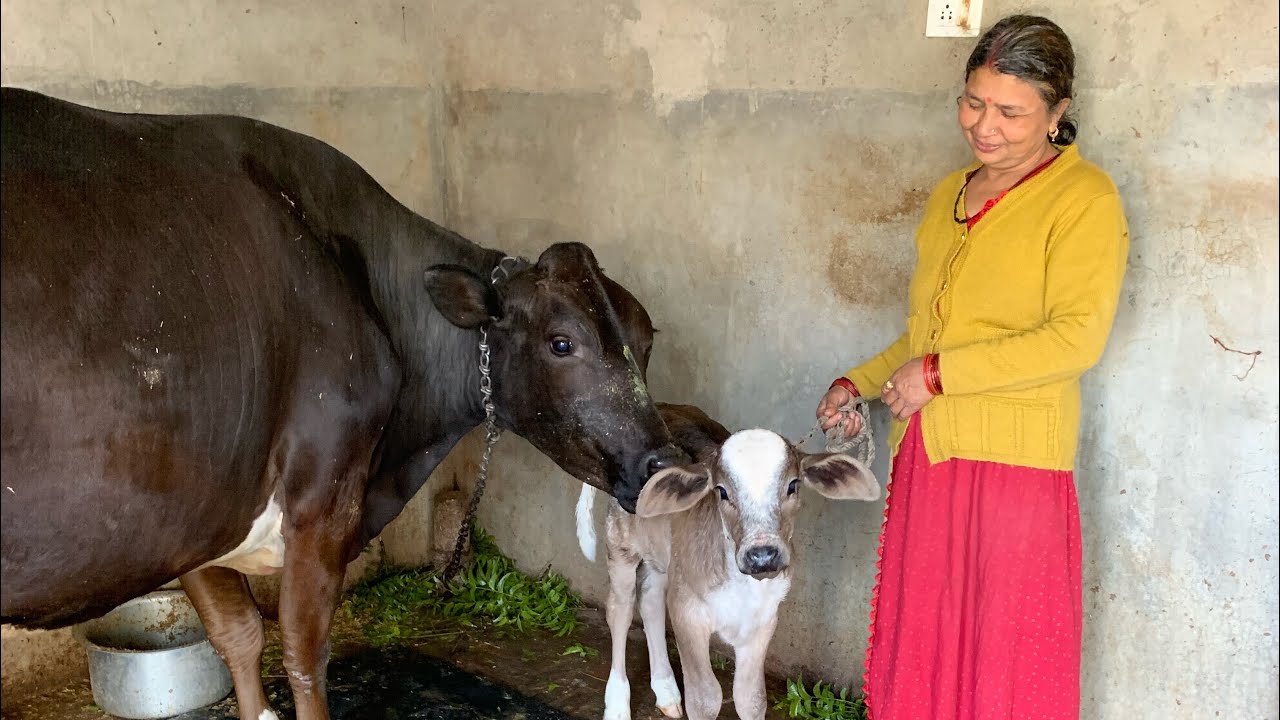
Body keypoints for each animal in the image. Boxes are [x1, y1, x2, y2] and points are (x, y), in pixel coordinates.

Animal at [0, 87, 684, 720]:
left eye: (648, 340)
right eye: (562, 342)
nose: (665, 466)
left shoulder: (201, 512)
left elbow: (239, 636)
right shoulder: (322, 499)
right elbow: (304, 654)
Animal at [577, 404, 881, 720]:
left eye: (793, 485)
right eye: (721, 491)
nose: (762, 555)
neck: (743, 587)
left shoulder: (763, 621)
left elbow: (751, 699)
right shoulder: (687, 612)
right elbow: (705, 699)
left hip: (661, 557)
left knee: (650, 604)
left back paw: (667, 691)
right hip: (621, 546)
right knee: (620, 611)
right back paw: (617, 705)